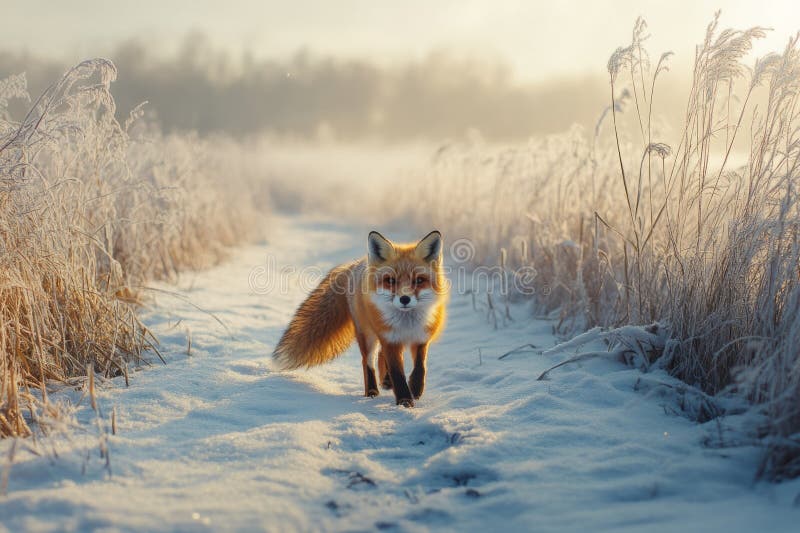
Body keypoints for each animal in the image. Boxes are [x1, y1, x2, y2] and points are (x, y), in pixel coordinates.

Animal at [272, 230, 447, 407]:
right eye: (390, 280)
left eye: (419, 280)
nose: (405, 299)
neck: (407, 325)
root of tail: (356, 263)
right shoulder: (390, 339)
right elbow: (397, 373)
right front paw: (404, 400)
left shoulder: (421, 338)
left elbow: (420, 367)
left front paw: (416, 389)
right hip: (367, 335)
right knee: (367, 361)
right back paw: (371, 391)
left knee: (381, 356)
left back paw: (386, 381)